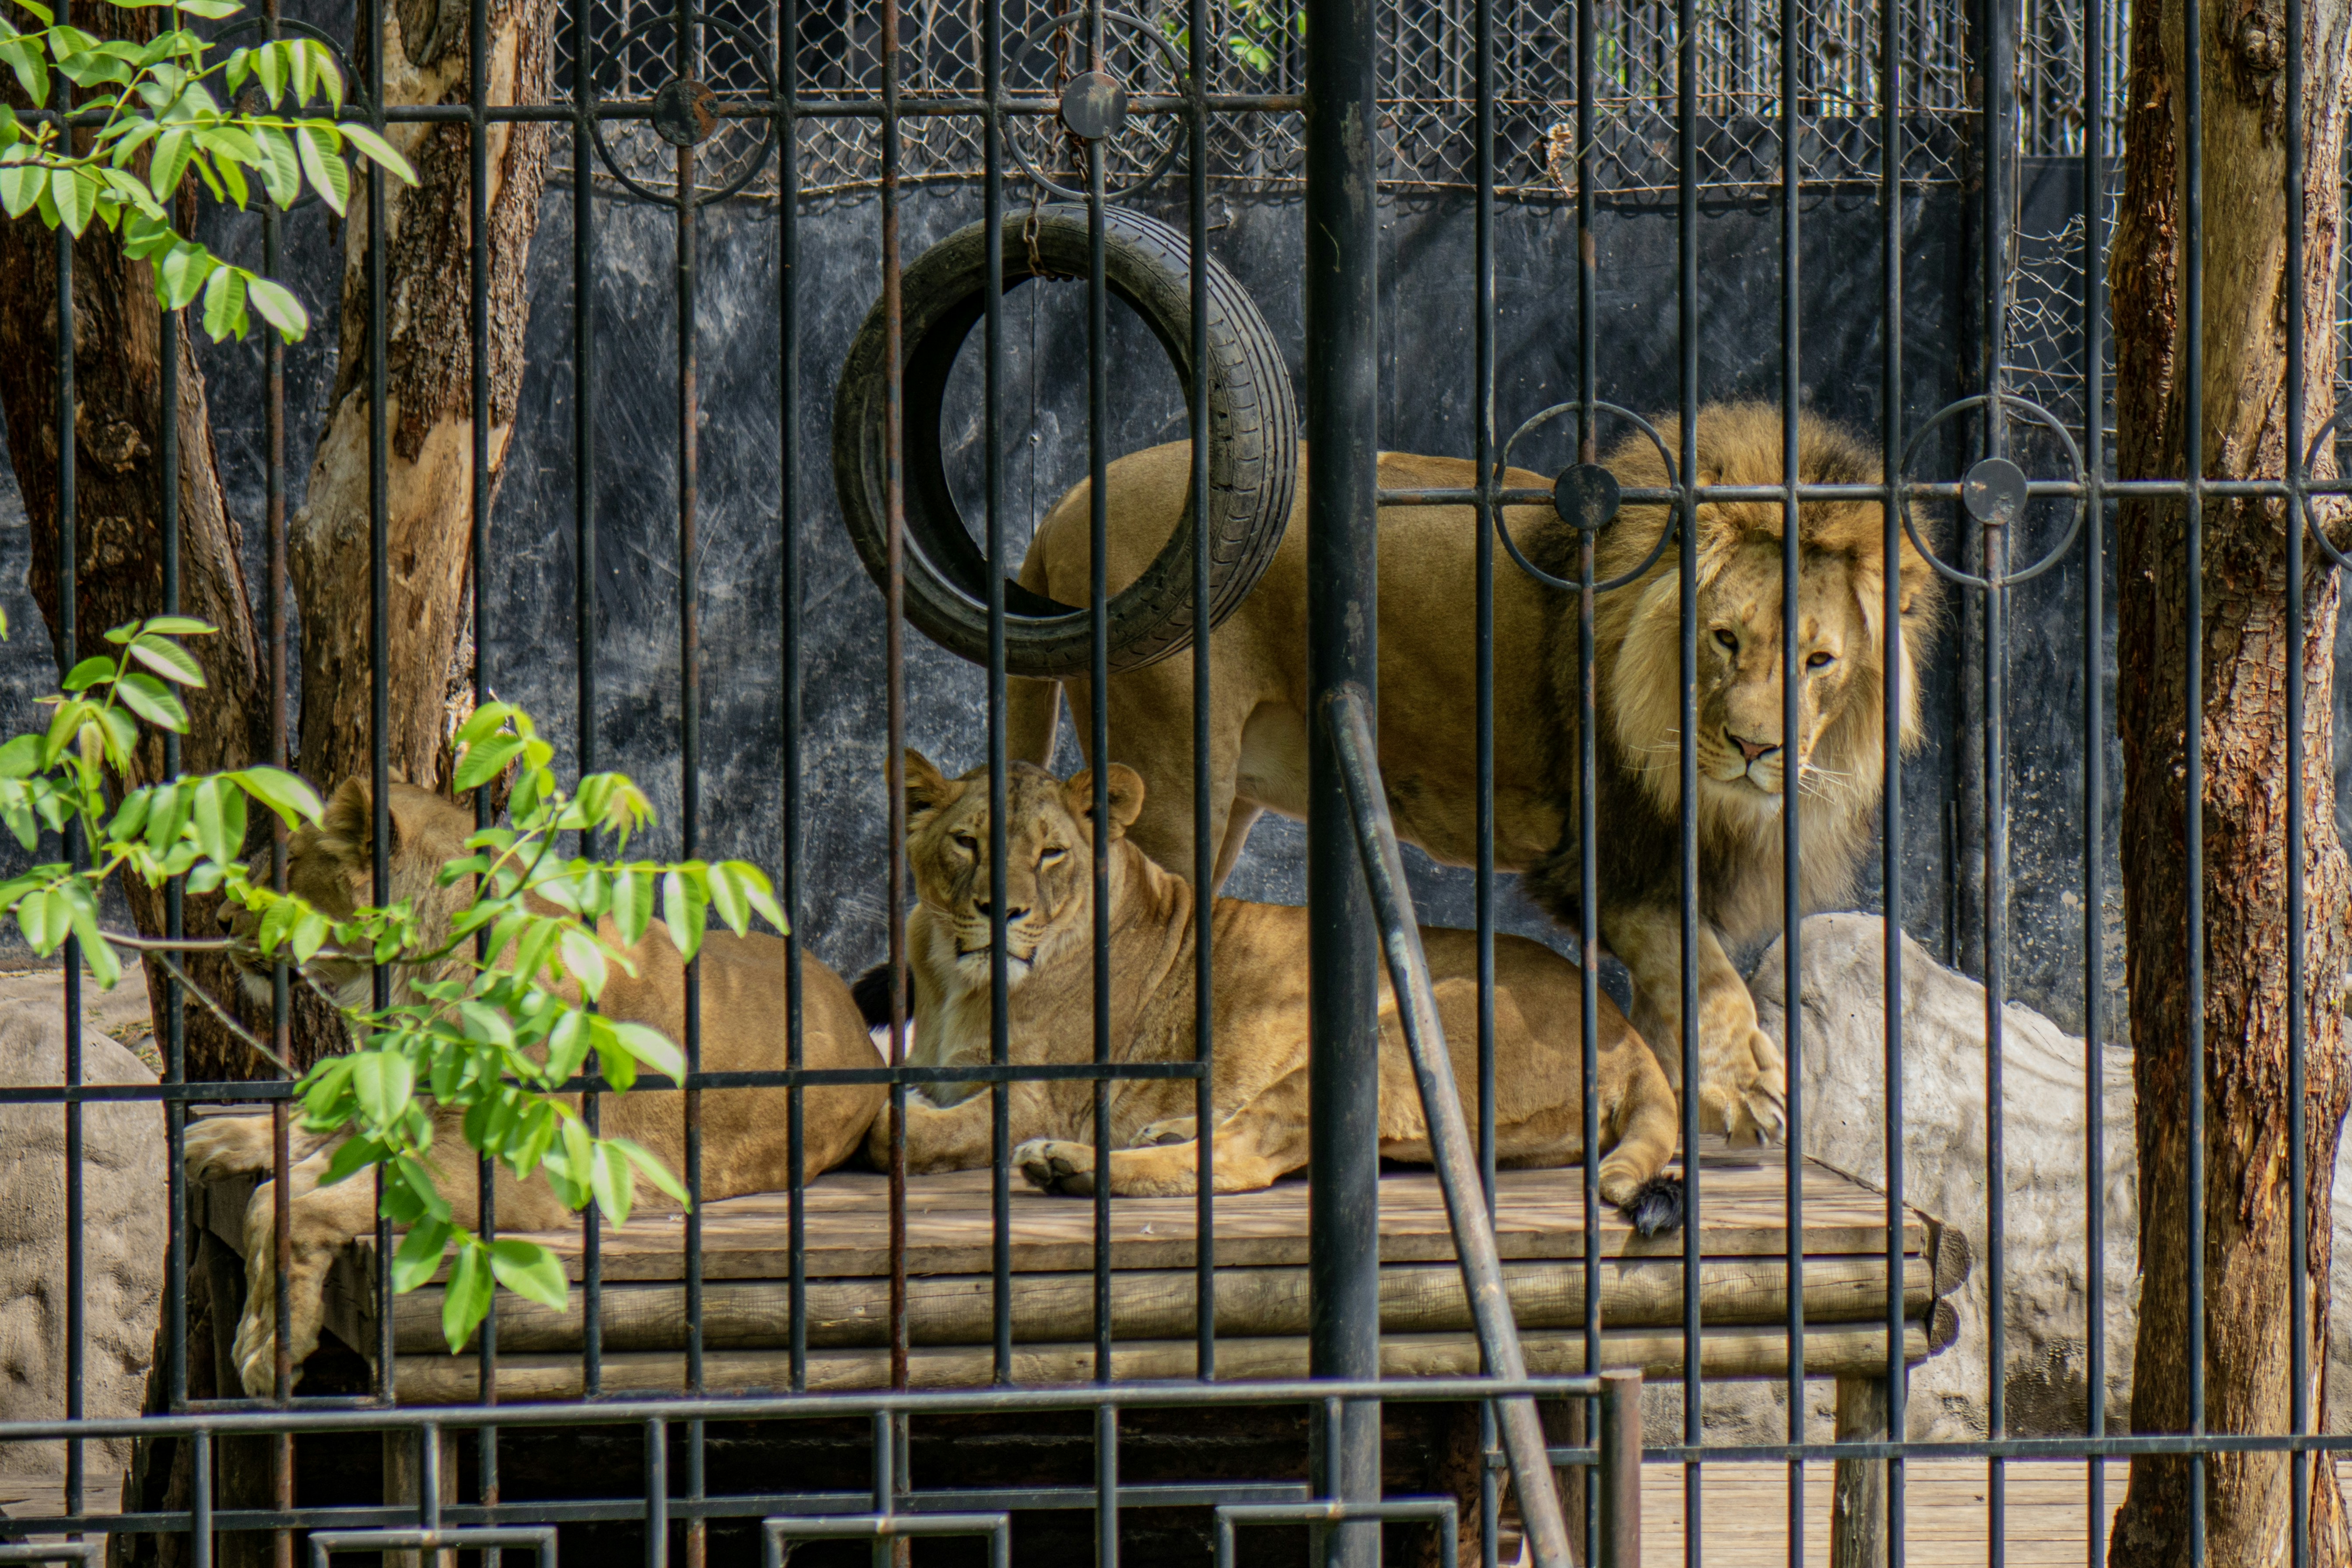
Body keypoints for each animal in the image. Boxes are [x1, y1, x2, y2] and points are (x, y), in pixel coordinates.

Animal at [183, 780, 886, 1395]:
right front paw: (261, 1333)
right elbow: (275, 1194)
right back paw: (214, 1136)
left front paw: (270, 1349)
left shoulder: (514, 1173)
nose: (218, 916)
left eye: (290, 866)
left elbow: (297, 1207)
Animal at [852, 750, 1683, 1225]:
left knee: (1245, 1158)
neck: (954, 977)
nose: (1004, 910)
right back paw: (1157, 1132)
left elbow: (900, 1130)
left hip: (1381, 1040)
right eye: (966, 842)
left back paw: (1070, 1165)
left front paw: (905, 1122)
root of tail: (1623, 1029)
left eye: (1051, 853)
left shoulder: (1041, 1093)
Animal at [1007, 403, 1938, 1146]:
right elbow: (1707, 982)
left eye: (1818, 661)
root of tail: (1063, 501)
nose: (1754, 749)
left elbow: (1665, 1007)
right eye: (1724, 639)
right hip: (1170, 777)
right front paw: (1746, 1090)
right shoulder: (1607, 860)